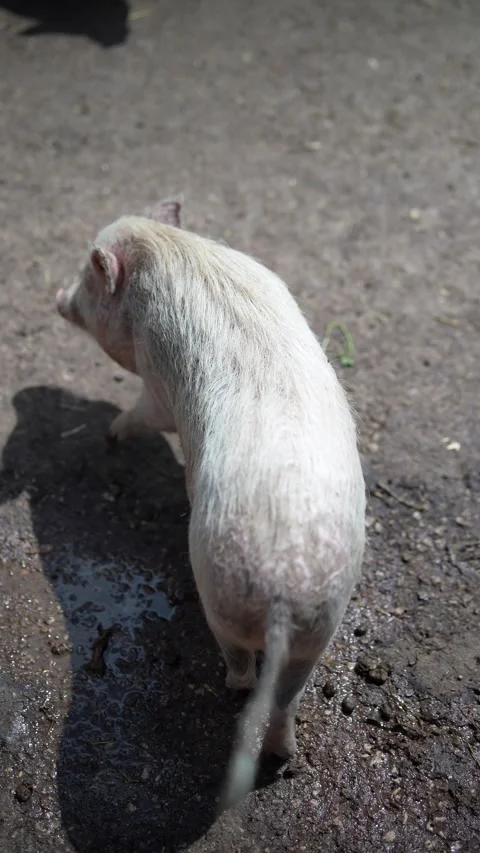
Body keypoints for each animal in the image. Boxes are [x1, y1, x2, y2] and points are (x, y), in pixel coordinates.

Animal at [55, 201, 366, 810]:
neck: (167, 249)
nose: (57, 296)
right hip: (322, 628)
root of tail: (283, 589)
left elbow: (143, 414)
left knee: (243, 672)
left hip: (220, 600)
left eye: (87, 277)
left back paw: (232, 688)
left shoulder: (155, 377)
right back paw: (283, 759)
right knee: (287, 701)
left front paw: (108, 435)